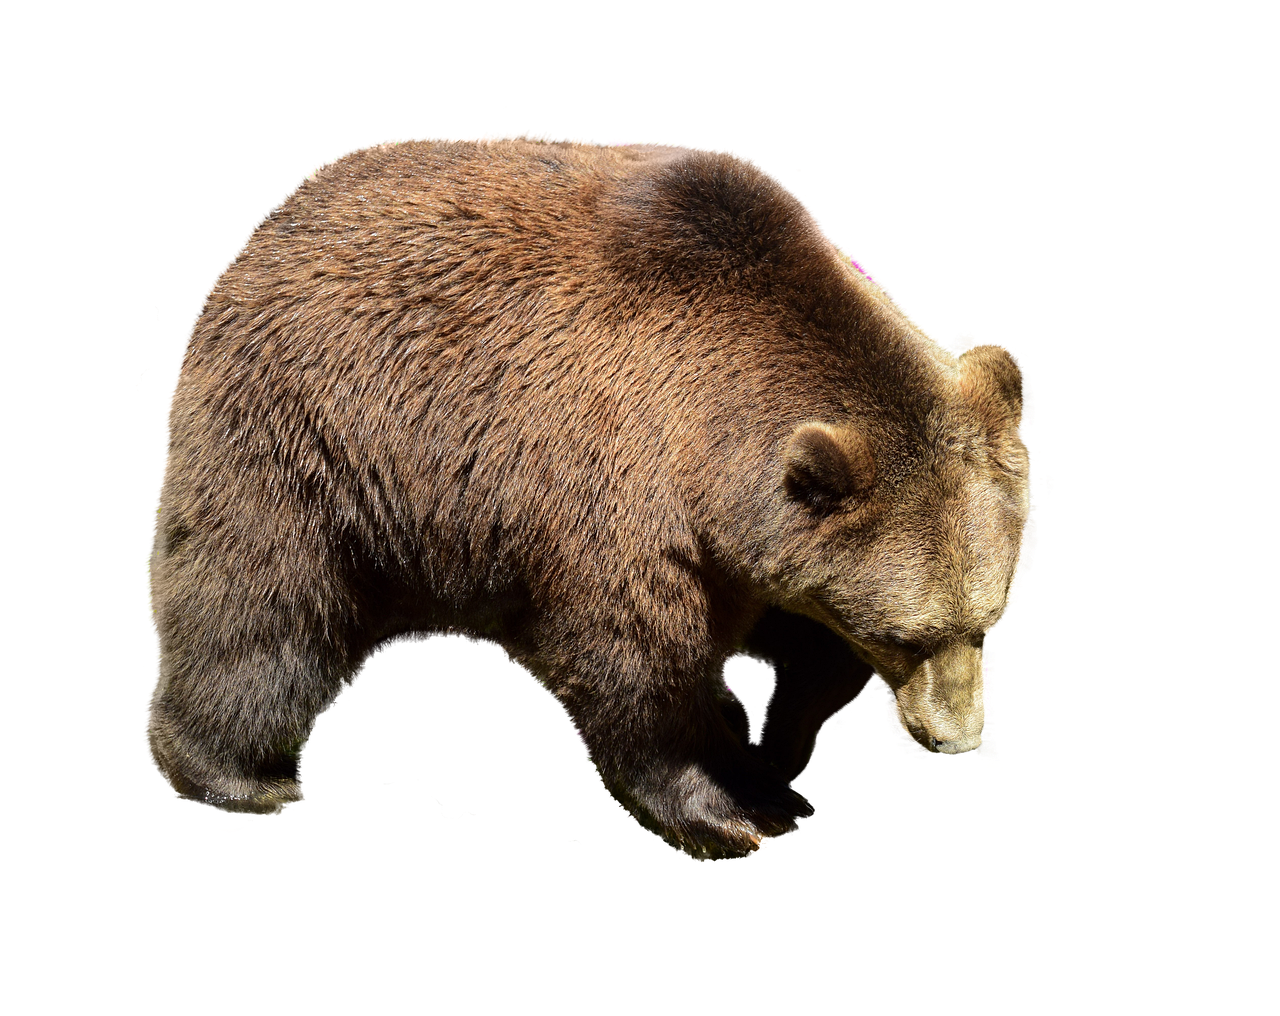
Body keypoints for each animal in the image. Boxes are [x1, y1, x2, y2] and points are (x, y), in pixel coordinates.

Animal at [144, 133, 1037, 860]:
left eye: (991, 617)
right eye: (904, 634)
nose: (955, 740)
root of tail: (281, 213)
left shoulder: (757, 551)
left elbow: (805, 641)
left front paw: (775, 743)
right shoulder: (617, 482)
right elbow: (640, 664)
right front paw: (735, 806)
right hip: (312, 435)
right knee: (260, 601)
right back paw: (238, 776)